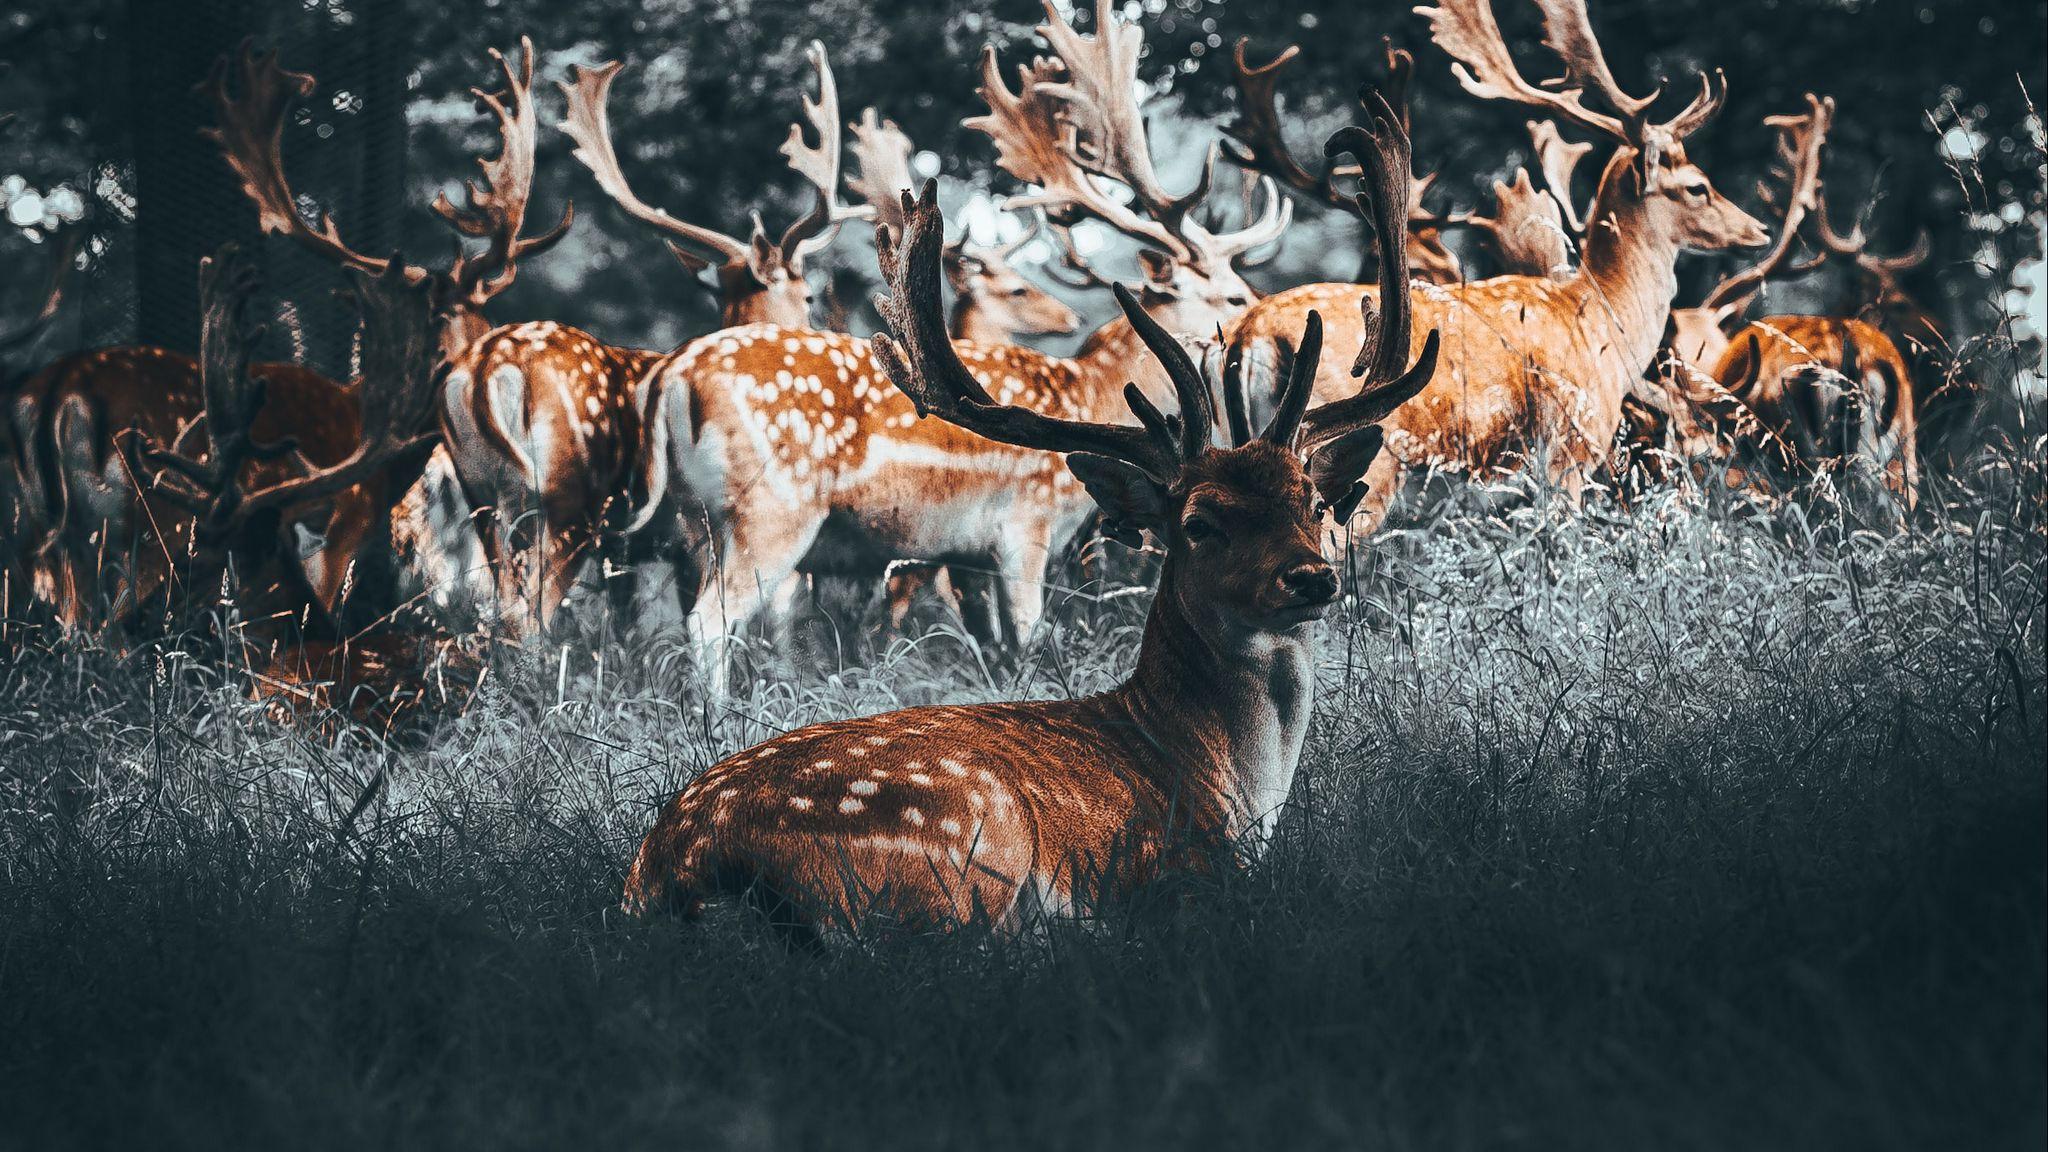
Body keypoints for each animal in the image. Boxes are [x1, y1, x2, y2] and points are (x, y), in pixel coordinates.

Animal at [435, 41, 863, 636]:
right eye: (809, 296)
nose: (821, 335)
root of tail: (484, 370)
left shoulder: (631, 553)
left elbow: (627, 626)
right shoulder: (687, 535)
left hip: (480, 494)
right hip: (568, 498)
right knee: (529, 615)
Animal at [620, 104, 1437, 940]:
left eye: (1314, 502)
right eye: (1199, 522)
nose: (1310, 577)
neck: (1225, 781)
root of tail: (687, 859)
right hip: (959, 836)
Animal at [627, 0, 1289, 688]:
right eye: (1226, 294)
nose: (1268, 308)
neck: (1094, 394)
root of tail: (673, 375)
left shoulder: (967, 553)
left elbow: (991, 643)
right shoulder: (1025, 522)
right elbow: (1028, 634)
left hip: (693, 522)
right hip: (772, 511)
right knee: (710, 621)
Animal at [1225, 0, 1769, 537]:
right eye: (1698, 186)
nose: (1758, 229)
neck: (1605, 328)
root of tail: (1254, 333)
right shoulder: (1569, 451)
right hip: (1360, 464)